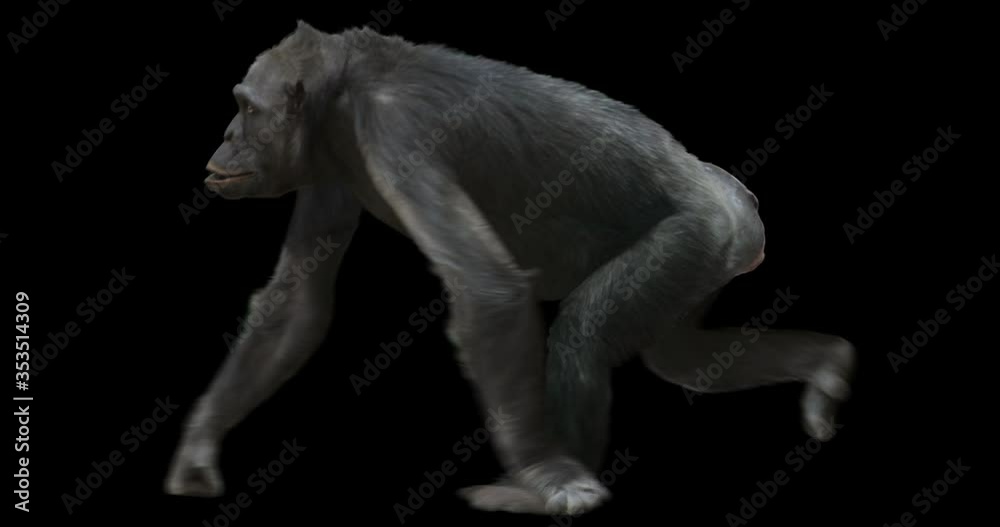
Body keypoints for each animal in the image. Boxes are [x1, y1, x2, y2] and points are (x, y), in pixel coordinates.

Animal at [164, 22, 855, 516]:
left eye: (247, 107)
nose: (227, 134)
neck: (344, 93)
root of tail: (739, 201)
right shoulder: (327, 167)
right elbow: (296, 301)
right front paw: (198, 446)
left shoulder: (395, 128)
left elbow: (487, 288)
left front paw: (545, 474)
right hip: (707, 260)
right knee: (682, 358)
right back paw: (825, 363)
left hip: (695, 235)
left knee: (584, 333)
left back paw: (543, 486)